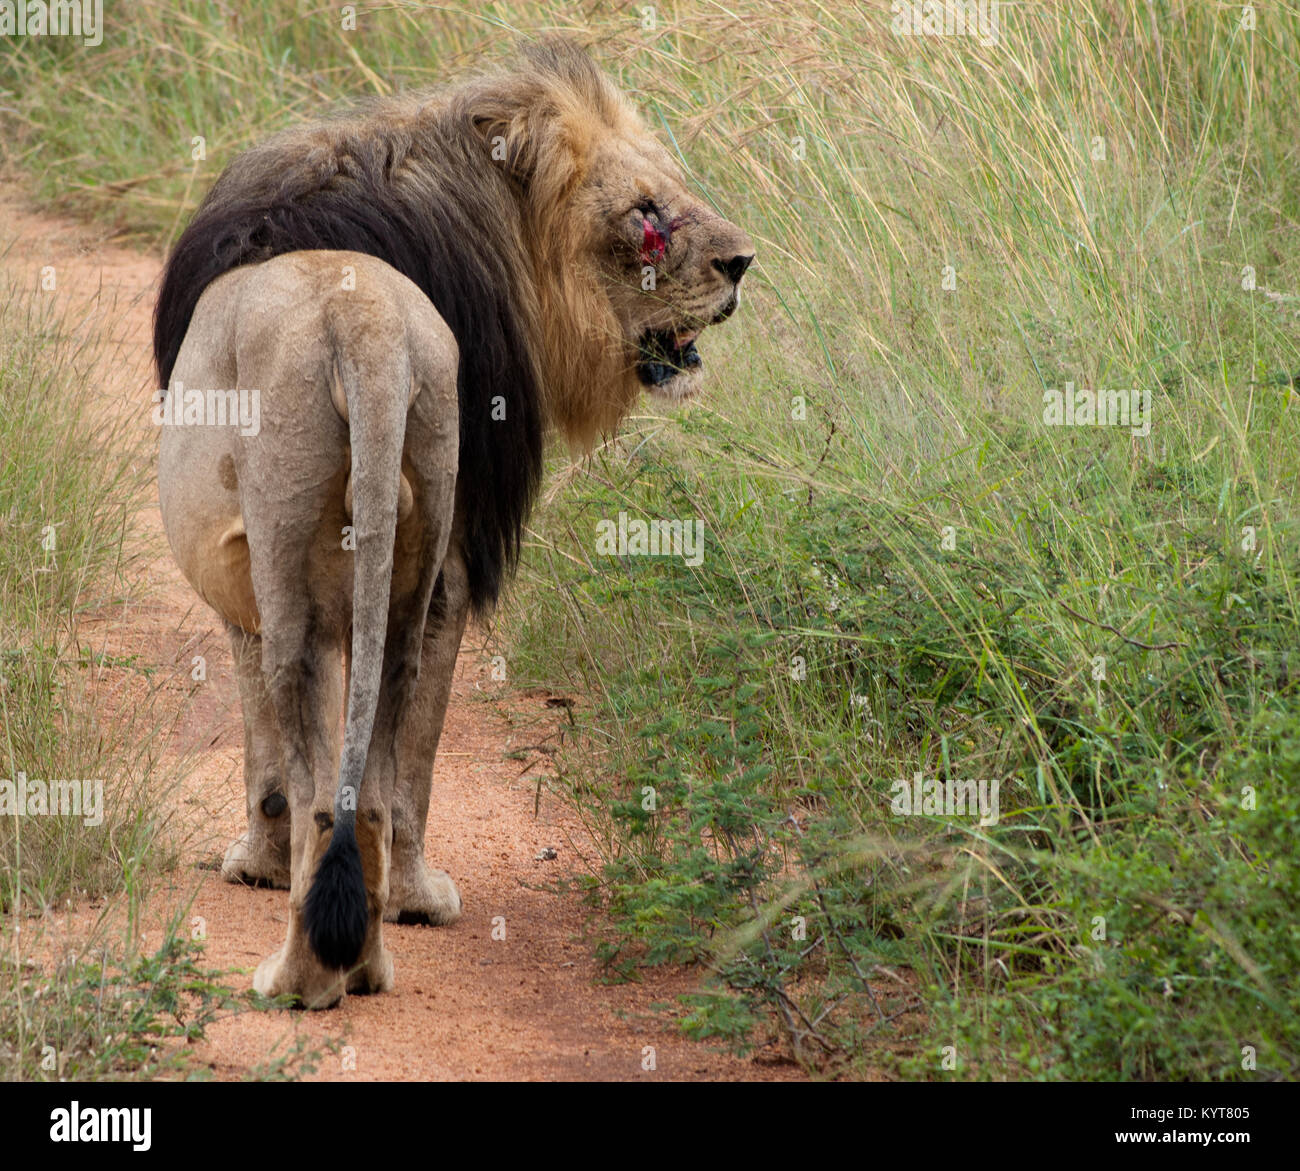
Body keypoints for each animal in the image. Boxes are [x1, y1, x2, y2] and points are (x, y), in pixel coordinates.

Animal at [154, 38, 754, 1008]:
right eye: (645, 212)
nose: (744, 262)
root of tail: (358, 316)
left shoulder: (257, 572)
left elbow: (278, 740)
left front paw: (265, 864)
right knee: (374, 754)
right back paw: (364, 953)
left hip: (306, 567)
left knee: (331, 769)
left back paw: (318, 962)